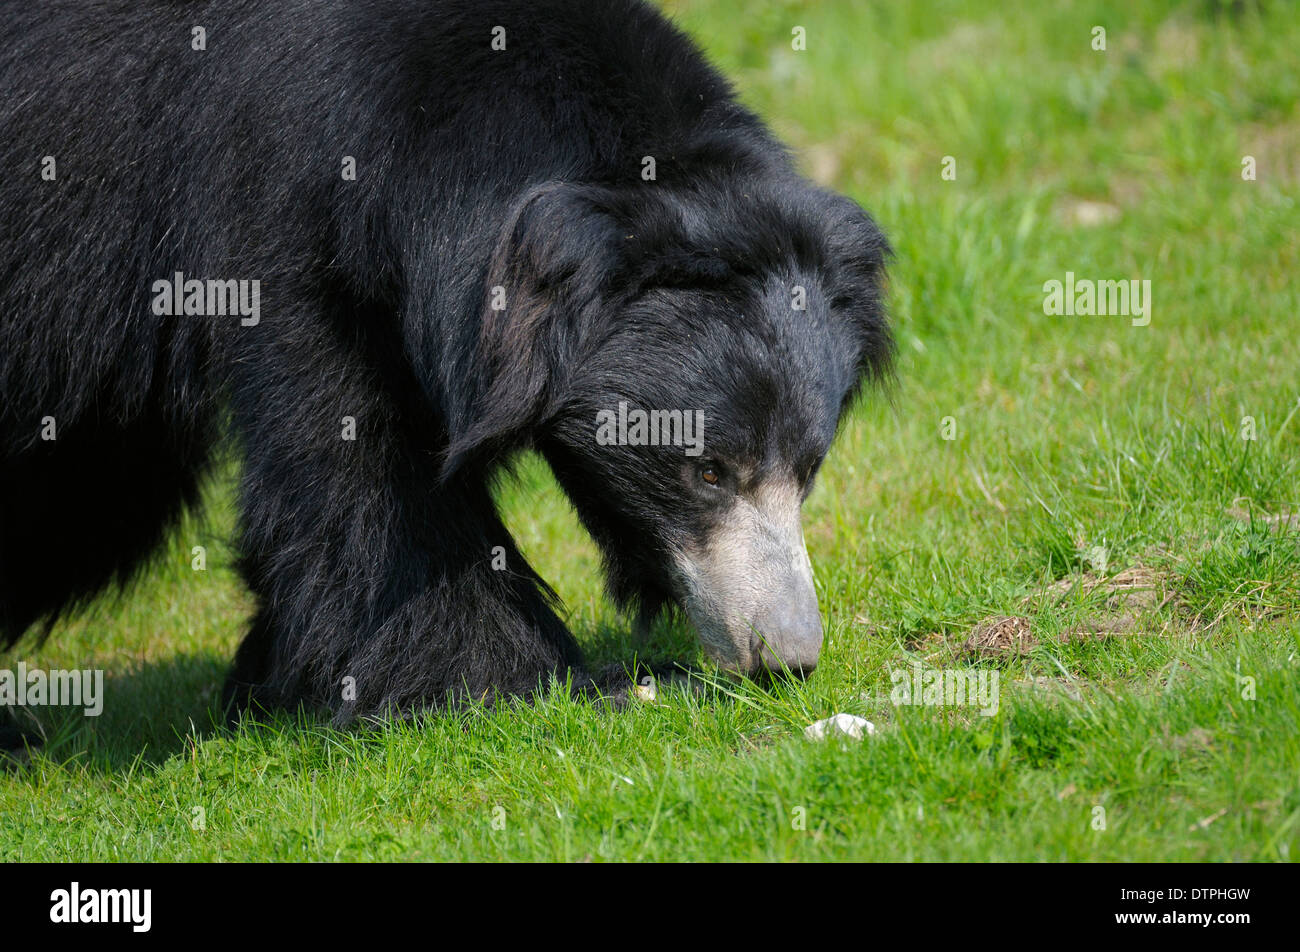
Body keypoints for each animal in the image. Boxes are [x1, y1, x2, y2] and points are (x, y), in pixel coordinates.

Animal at [0, 0, 891, 726]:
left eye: (808, 470)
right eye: (706, 470)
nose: (787, 657)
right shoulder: (286, 222)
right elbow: (363, 474)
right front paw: (534, 684)